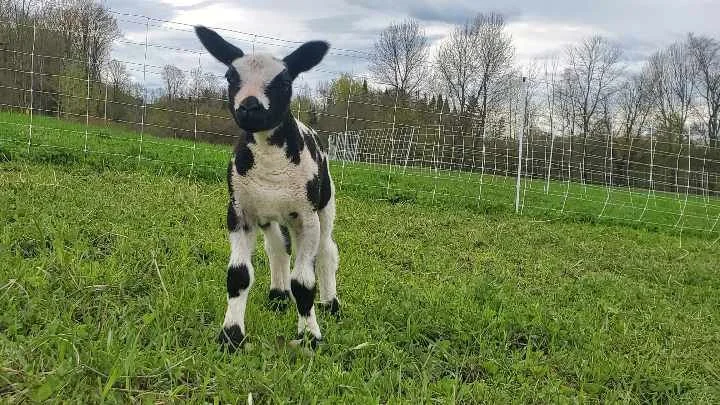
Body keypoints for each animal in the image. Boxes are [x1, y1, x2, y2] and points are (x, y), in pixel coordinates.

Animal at [194, 26, 340, 352]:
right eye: (230, 77)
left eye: (285, 82)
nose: (249, 108)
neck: (271, 160)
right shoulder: (239, 211)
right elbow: (238, 275)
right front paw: (231, 336)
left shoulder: (307, 217)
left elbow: (304, 282)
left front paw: (310, 337)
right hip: (269, 214)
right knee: (278, 247)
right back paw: (278, 295)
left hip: (324, 206)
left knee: (327, 251)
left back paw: (331, 304)